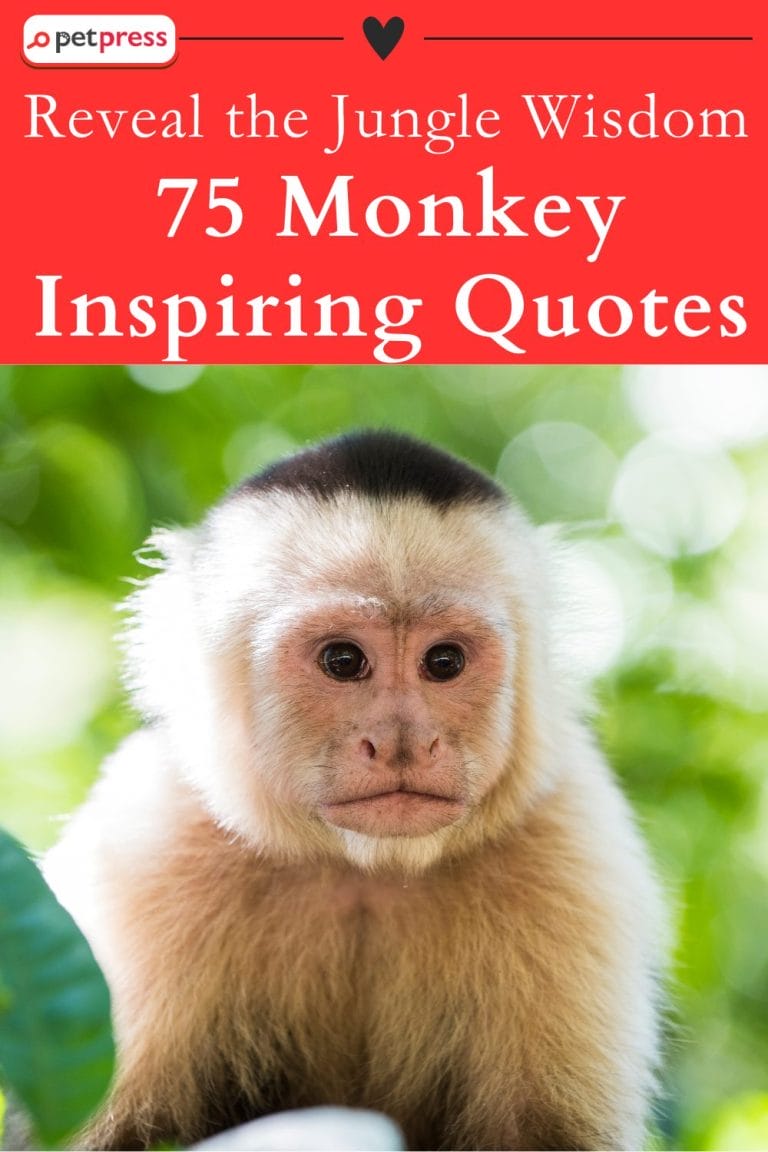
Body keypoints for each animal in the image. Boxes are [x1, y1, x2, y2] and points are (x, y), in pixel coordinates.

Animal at [45, 430, 665, 1151]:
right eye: (343, 661)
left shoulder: (573, 850)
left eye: (444, 662)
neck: (363, 871)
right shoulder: (142, 854)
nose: (401, 742)